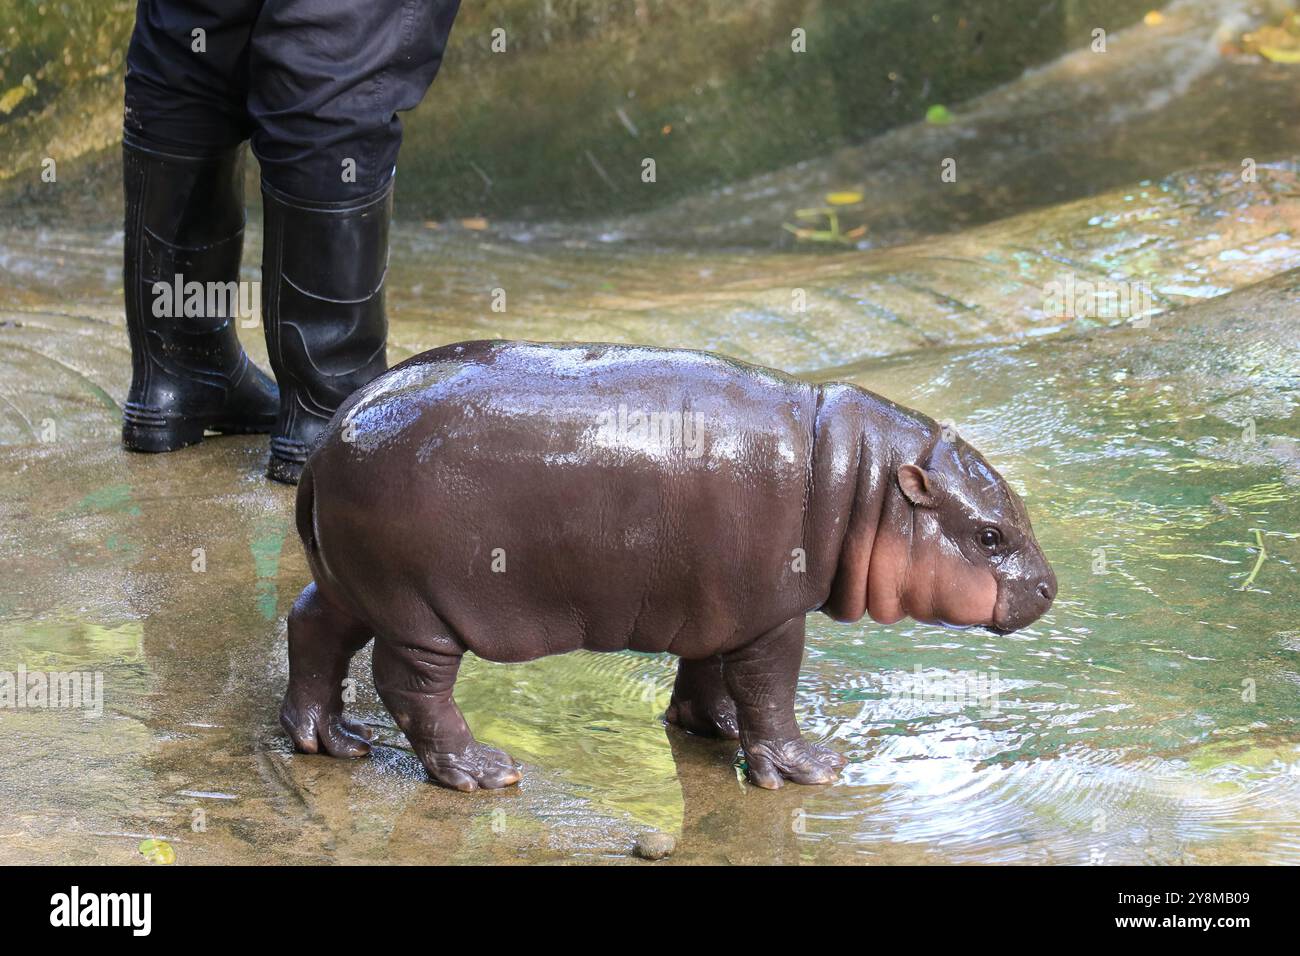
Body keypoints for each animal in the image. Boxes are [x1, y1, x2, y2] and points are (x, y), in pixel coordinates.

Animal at [279, 340, 1056, 791]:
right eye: (989, 535)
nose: (1050, 587)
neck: (856, 479)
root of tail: (329, 438)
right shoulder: (771, 614)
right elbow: (771, 689)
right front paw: (810, 767)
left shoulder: (720, 605)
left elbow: (710, 672)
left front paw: (715, 728)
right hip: (419, 610)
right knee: (410, 685)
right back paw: (484, 773)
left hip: (352, 583)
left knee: (312, 625)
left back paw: (330, 742)